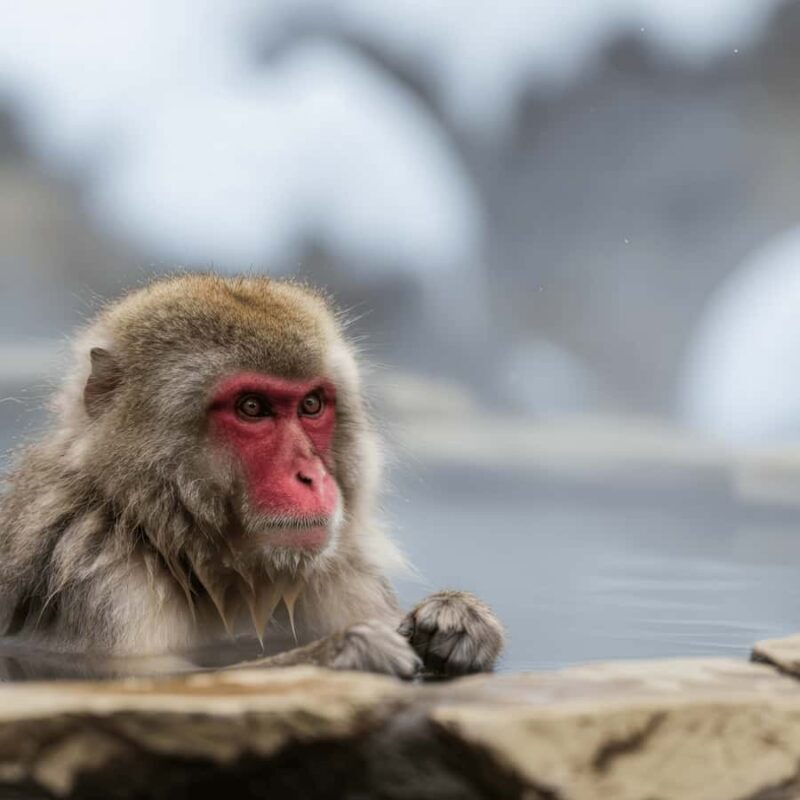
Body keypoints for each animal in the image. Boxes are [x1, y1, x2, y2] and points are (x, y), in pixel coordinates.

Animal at [0, 274, 504, 679]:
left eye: (311, 404)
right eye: (252, 408)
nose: (311, 476)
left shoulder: (340, 576)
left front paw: (459, 620)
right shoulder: (100, 579)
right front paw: (344, 652)